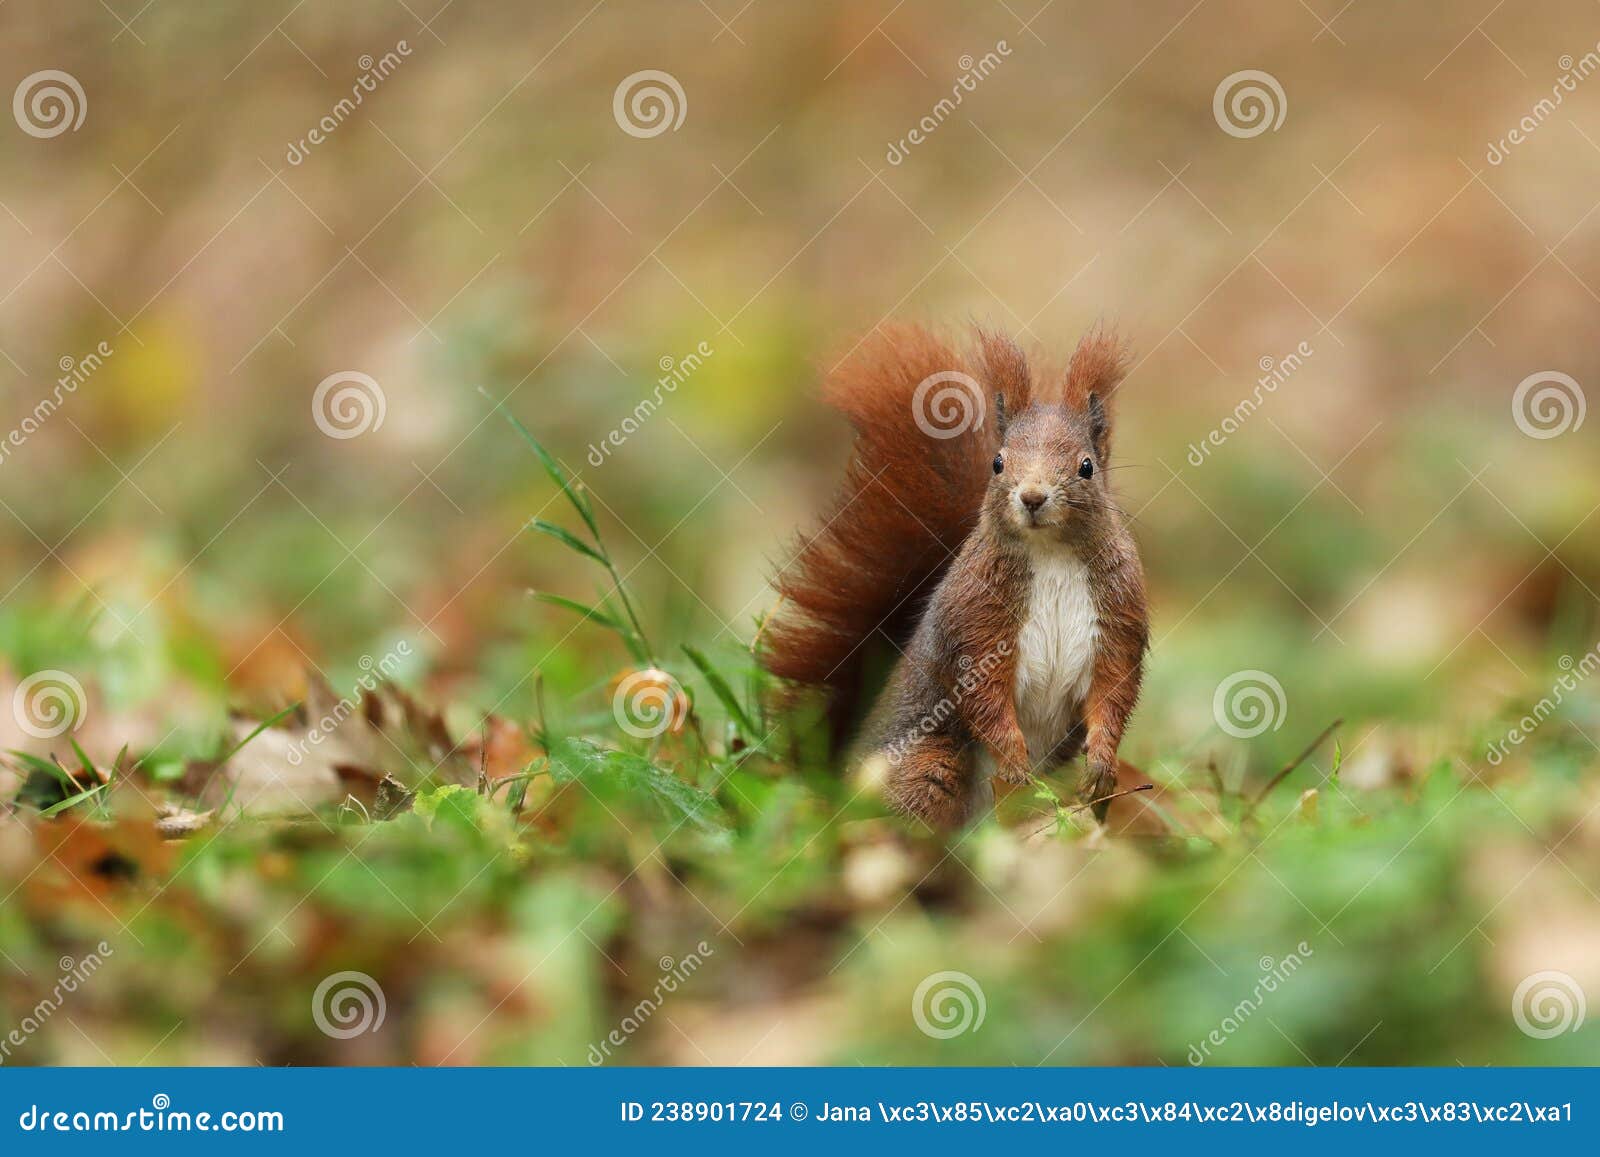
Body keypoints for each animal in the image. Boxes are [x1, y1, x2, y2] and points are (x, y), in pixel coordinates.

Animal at [760, 324, 1149, 830]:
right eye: (998, 463)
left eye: (1086, 467)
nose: (1033, 497)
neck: (1052, 554)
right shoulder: (975, 621)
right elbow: (983, 696)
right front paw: (1014, 764)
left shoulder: (1118, 619)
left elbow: (1114, 691)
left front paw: (1101, 764)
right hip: (928, 763)